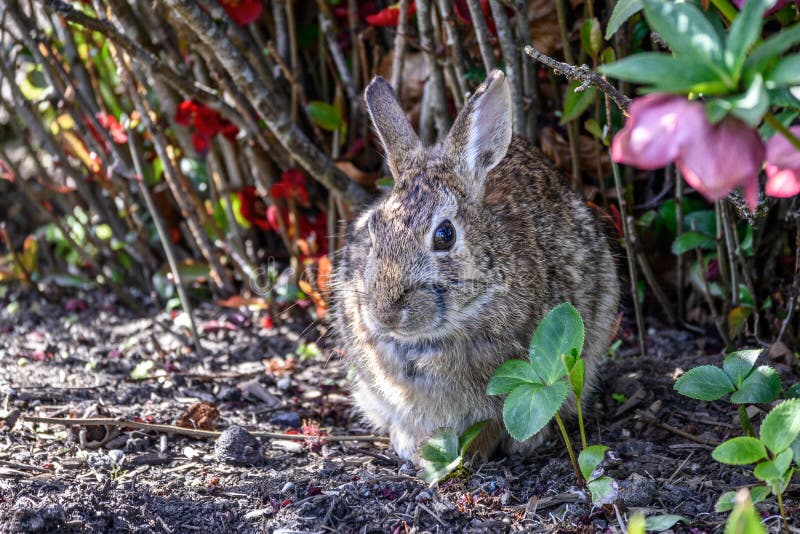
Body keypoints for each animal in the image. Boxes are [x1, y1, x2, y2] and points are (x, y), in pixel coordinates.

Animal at [331, 70, 620, 461]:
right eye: (373, 230)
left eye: (444, 235)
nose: (386, 314)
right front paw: (411, 445)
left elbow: (495, 422)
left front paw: (472, 452)